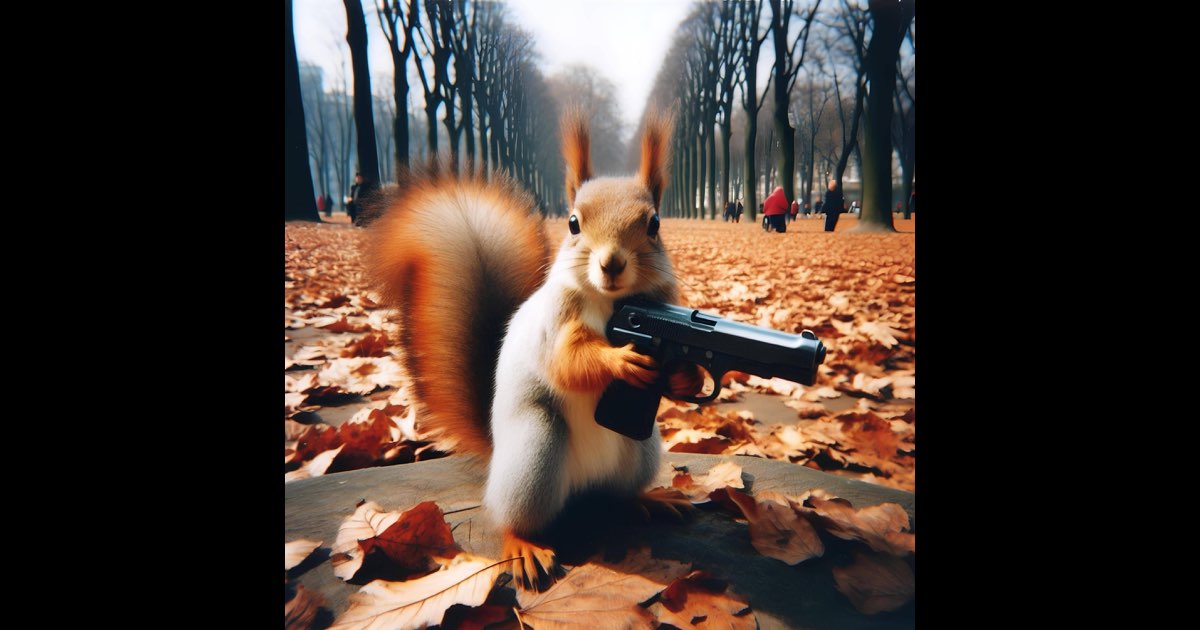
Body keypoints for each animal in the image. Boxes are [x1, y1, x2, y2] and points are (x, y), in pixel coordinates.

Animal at [368, 109, 703, 591]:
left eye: (655, 224)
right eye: (573, 223)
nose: (612, 263)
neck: (612, 303)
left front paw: (688, 376)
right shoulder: (554, 321)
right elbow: (565, 363)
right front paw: (618, 358)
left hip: (640, 448)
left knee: (617, 495)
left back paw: (649, 500)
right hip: (535, 449)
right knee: (514, 516)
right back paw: (523, 546)